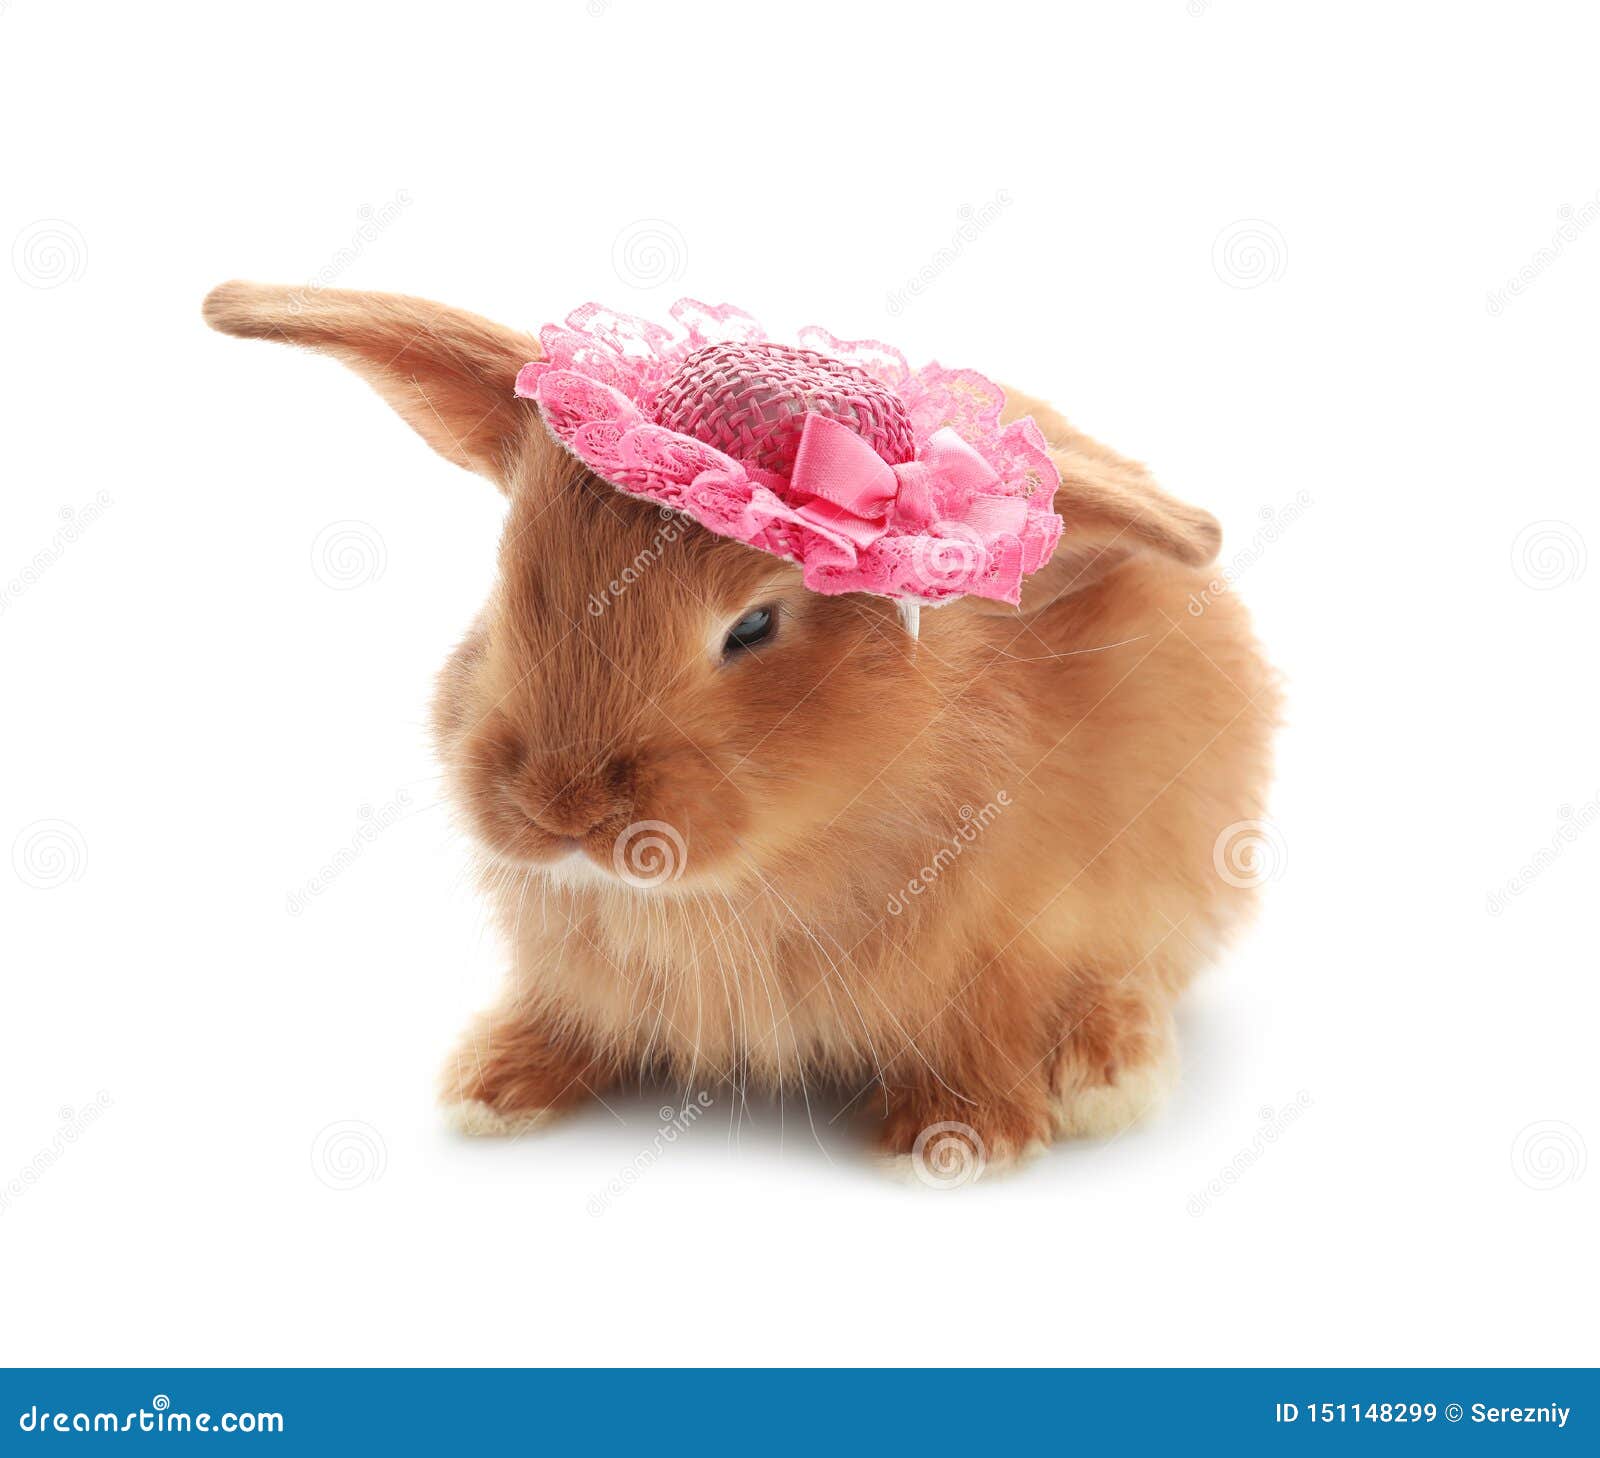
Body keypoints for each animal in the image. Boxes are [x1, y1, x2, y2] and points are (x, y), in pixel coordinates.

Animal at [203, 280, 1279, 1178]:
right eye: (510, 587)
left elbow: (985, 1034)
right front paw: (495, 1087)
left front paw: (956, 1141)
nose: (561, 808)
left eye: (753, 626)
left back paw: (1107, 1067)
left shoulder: (1008, 948)